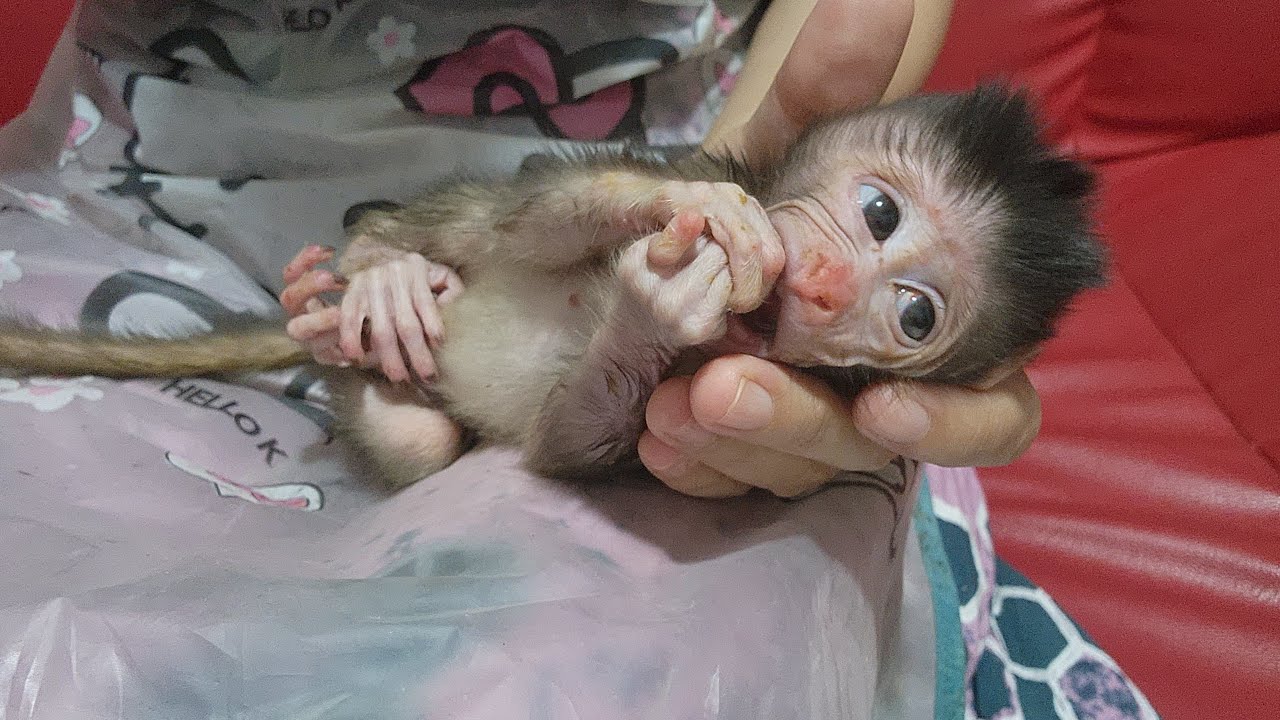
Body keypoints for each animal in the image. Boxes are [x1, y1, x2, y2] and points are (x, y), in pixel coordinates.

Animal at [0, 85, 1105, 489]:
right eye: (877, 213)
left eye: (914, 312)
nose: (833, 288)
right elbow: (555, 206)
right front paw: (685, 210)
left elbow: (559, 445)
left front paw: (647, 316)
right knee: (478, 223)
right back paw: (377, 273)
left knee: (418, 441)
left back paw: (338, 345)